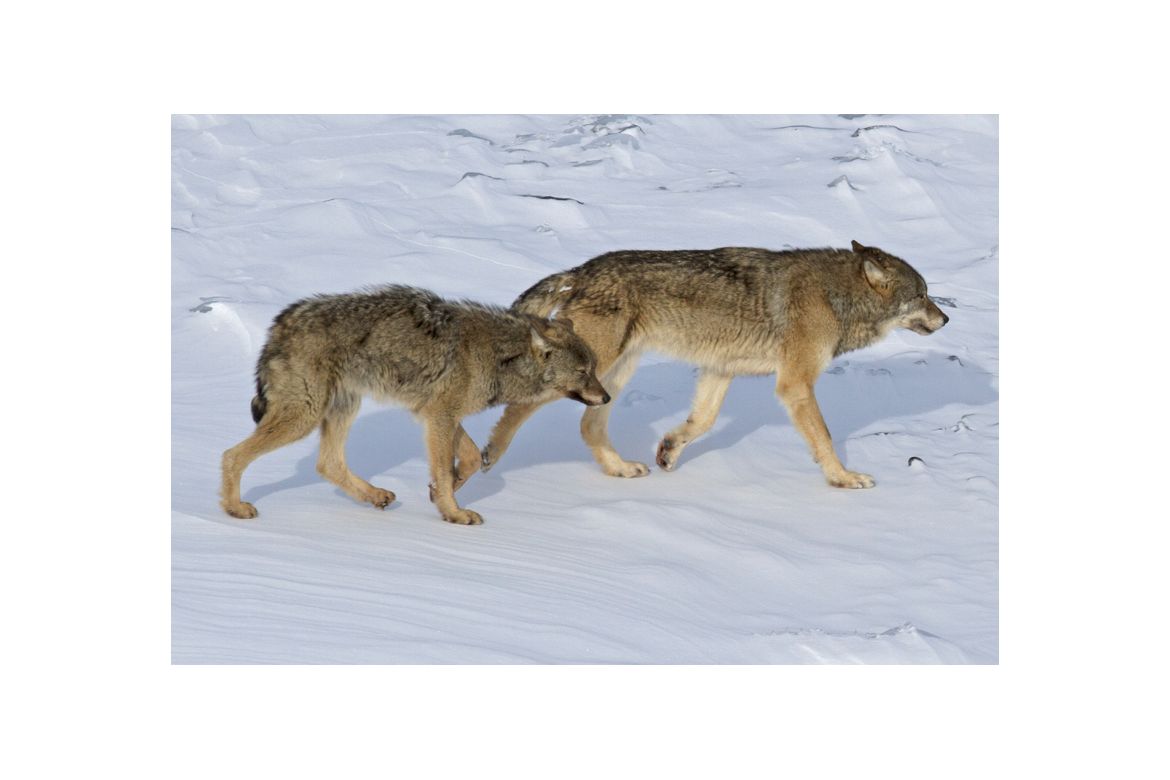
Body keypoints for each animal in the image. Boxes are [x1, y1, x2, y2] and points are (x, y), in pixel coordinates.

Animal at [220, 285, 608, 525]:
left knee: (327, 464)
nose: (606, 397)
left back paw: (375, 495)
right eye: (583, 371)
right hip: (304, 416)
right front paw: (455, 514)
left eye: (593, 368)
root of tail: (281, 323)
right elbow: (447, 467)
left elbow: (468, 459)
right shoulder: (440, 417)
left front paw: (442, 493)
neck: (500, 358)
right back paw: (234, 508)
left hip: (343, 408)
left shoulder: (437, 415)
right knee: (231, 454)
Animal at [479, 241, 949, 489]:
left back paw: (620, 468)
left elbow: (699, 423)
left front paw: (669, 450)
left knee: (587, 426)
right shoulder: (794, 384)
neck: (836, 297)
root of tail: (580, 270)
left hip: (611, 376)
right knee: (520, 407)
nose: (946, 319)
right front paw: (843, 478)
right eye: (923, 295)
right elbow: (825, 438)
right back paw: (489, 454)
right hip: (588, 371)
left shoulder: (720, 370)